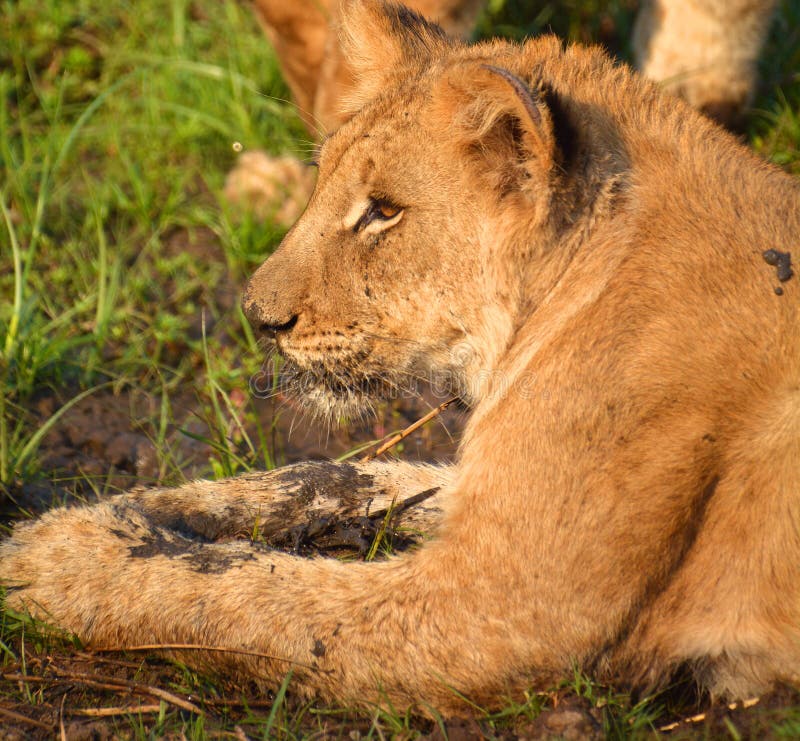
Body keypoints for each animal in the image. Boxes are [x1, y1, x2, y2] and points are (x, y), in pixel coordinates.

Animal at [2, 0, 800, 715]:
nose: (259, 316)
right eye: (322, 180)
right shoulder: (487, 488)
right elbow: (327, 475)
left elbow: (255, 592)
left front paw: (55, 557)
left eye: (383, 211)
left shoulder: (501, 608)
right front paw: (142, 508)